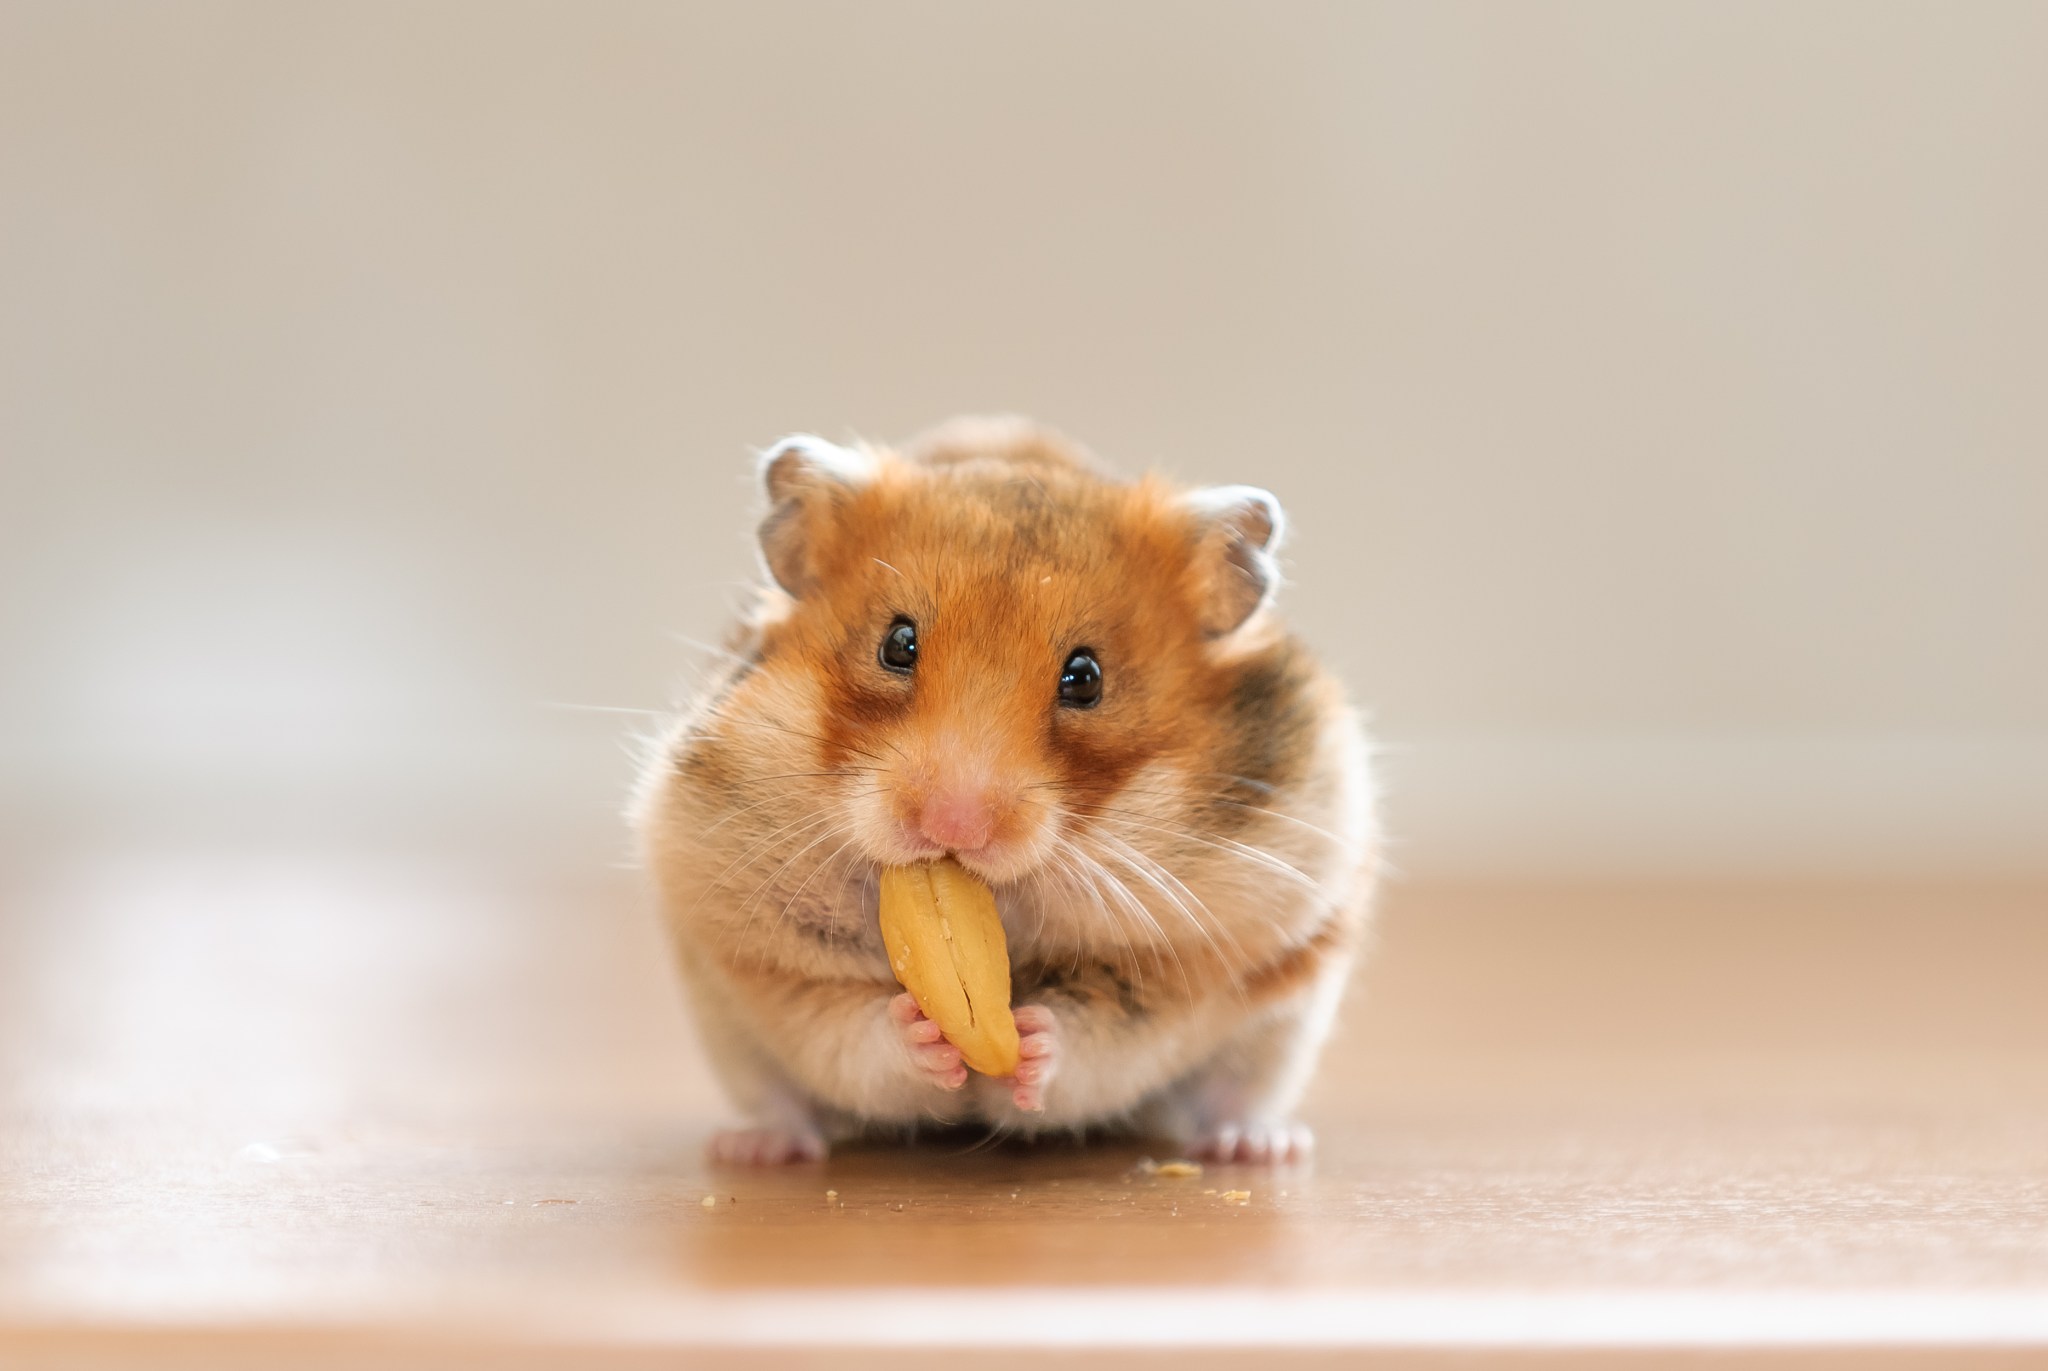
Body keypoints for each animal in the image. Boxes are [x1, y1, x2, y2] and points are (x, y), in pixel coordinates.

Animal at [632, 416, 1379, 1165]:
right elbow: (850, 1028)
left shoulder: (1189, 964)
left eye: (1086, 677)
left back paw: (1260, 1146)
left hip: (1283, 1028)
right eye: (896, 644)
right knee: (778, 1098)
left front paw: (1031, 1042)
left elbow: (1102, 1036)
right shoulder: (762, 952)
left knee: (1232, 1096)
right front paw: (922, 1032)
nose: (952, 828)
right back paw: (756, 1149)